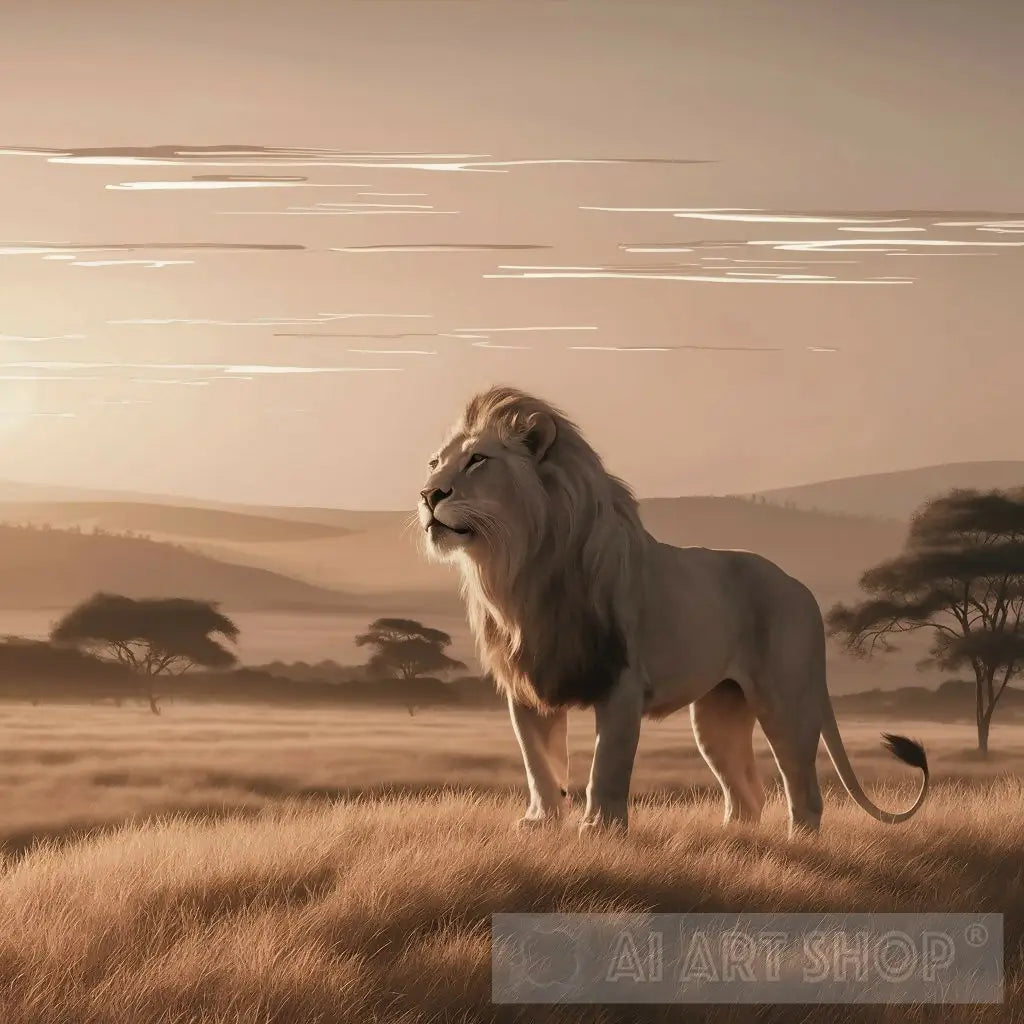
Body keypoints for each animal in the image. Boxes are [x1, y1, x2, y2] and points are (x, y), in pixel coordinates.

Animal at [417, 385, 928, 835]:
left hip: (787, 698)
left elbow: (607, 766)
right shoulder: (529, 683)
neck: (522, 568)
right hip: (718, 714)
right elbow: (538, 764)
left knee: (804, 793)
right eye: (435, 463)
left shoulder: (622, 682)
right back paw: (733, 843)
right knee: (748, 796)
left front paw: (599, 831)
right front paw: (540, 825)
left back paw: (797, 846)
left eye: (478, 460)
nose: (427, 495)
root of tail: (801, 588)